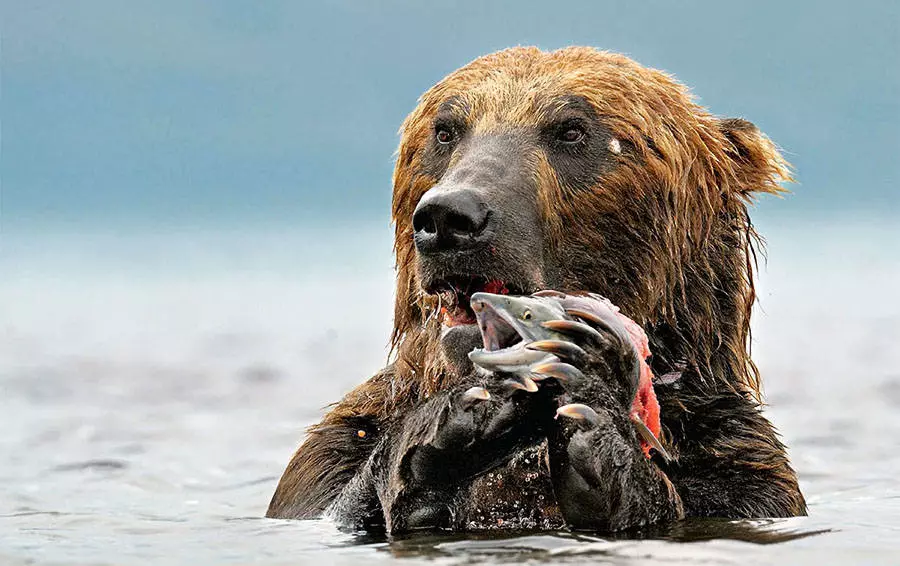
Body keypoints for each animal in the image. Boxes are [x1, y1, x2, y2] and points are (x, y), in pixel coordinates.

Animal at [264, 46, 804, 536]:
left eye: (571, 129)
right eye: (445, 129)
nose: (449, 217)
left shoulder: (739, 469)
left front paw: (595, 415)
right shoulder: (328, 459)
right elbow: (339, 491)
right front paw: (459, 427)